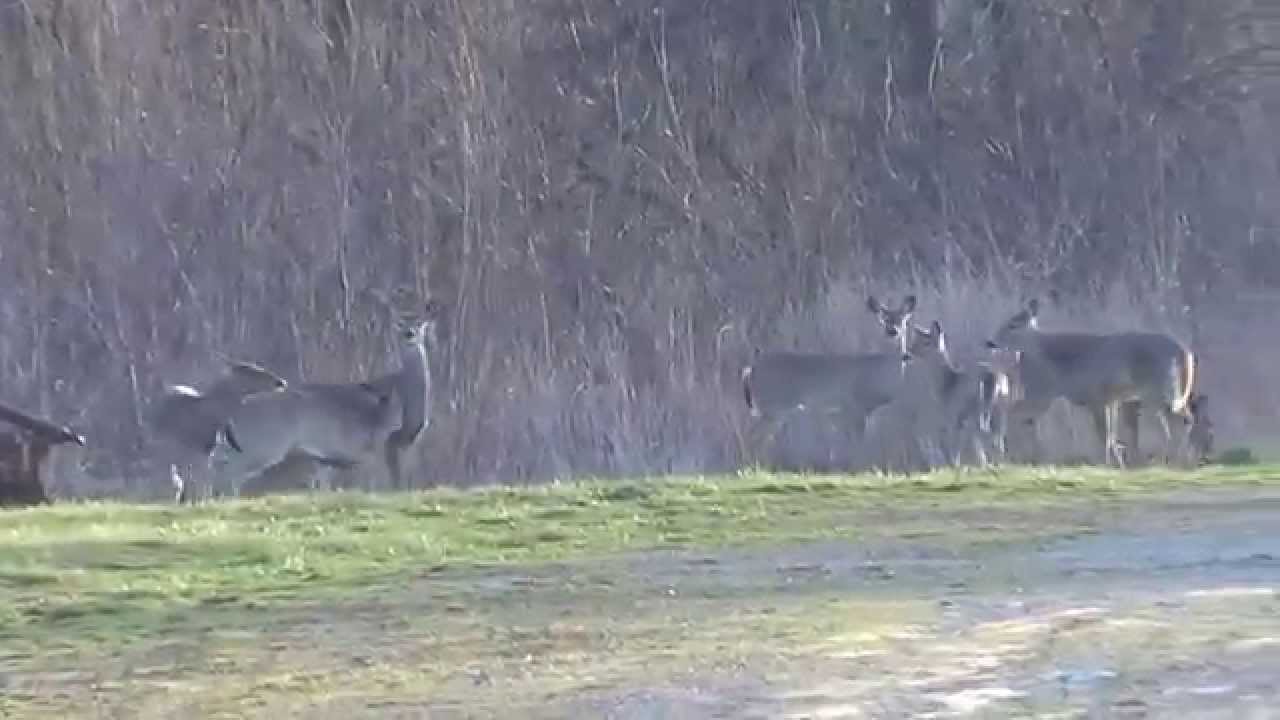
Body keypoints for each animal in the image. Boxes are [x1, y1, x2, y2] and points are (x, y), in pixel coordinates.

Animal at [985, 298, 1198, 467]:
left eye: (1013, 324)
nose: (990, 342)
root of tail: (1185, 353)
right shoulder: (1108, 400)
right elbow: (1110, 435)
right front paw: (1116, 464)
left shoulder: (1090, 396)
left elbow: (1105, 436)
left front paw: (1108, 464)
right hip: (1168, 394)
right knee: (1185, 419)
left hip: (1159, 391)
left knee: (1180, 421)